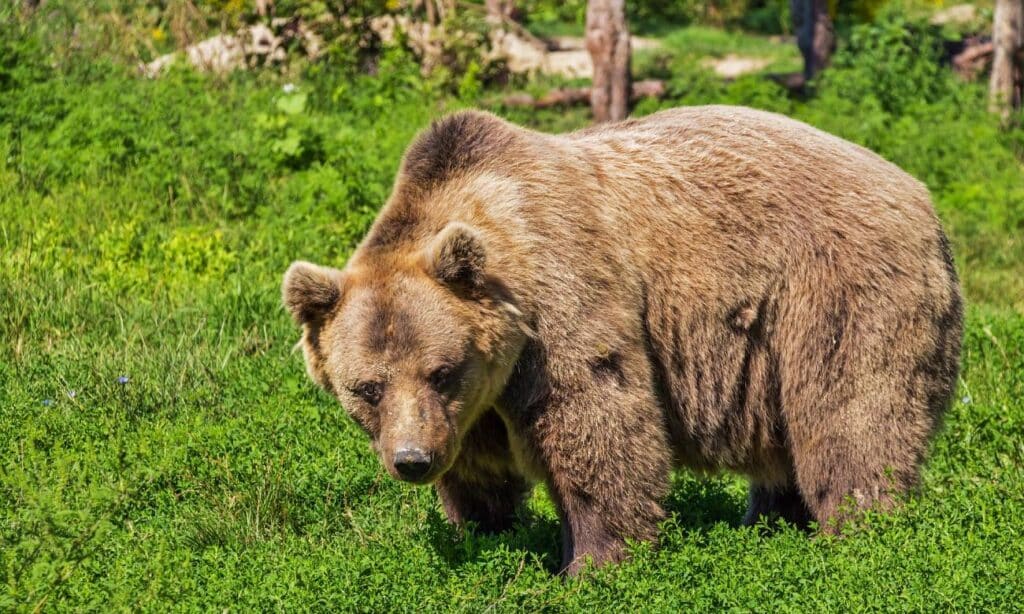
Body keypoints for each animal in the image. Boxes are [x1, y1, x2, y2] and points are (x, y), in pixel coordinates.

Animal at [282, 106, 962, 575]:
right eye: (367, 388)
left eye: (440, 370)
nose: (412, 460)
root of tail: (921, 196)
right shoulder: (472, 405)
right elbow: (479, 470)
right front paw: (486, 532)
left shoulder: (561, 305)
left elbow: (598, 423)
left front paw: (592, 563)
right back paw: (770, 524)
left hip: (837, 292)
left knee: (851, 417)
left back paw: (859, 533)